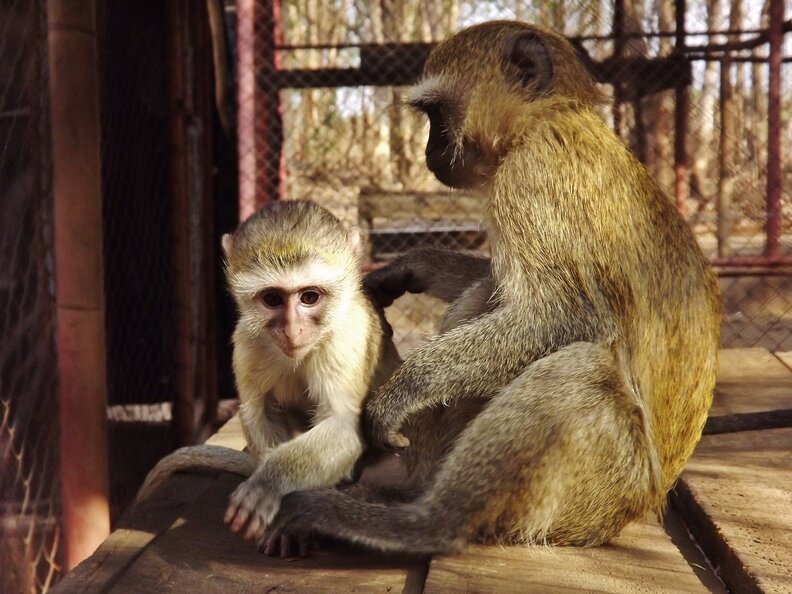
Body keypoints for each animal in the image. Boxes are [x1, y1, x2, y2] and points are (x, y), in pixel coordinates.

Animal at [134, 199, 402, 552]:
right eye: (272, 299)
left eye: (309, 297)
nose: (292, 330)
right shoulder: (246, 341)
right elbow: (258, 412)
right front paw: (281, 509)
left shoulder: (346, 335)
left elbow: (345, 425)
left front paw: (271, 482)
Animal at [254, 21, 721, 555]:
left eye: (436, 114)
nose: (428, 151)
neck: (548, 118)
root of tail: (639, 506)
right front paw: (415, 266)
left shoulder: (530, 178)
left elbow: (567, 316)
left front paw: (401, 392)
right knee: (490, 298)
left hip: (594, 490)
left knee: (582, 367)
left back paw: (419, 524)